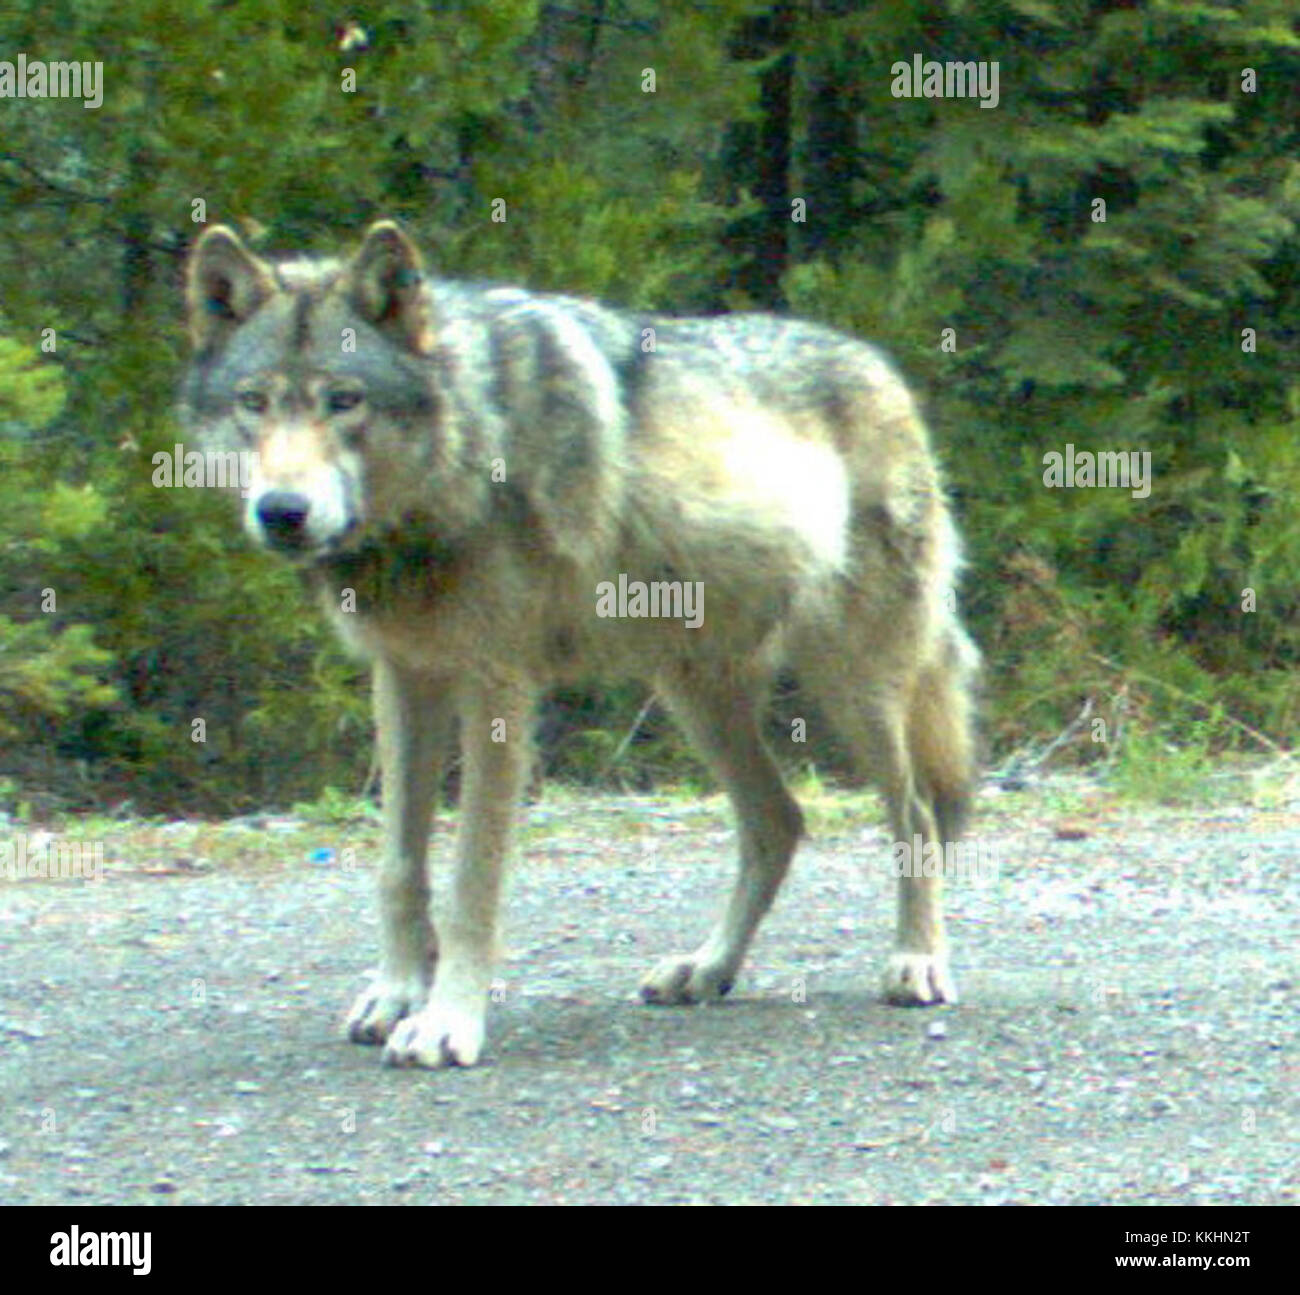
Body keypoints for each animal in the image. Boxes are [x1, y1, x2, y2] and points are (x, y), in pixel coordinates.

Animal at [180, 219, 980, 1069]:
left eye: (343, 401)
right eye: (254, 403)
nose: (282, 511)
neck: (467, 447)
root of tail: (885, 369)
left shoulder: (496, 687)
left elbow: (471, 879)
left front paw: (446, 1022)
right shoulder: (404, 677)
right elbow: (400, 866)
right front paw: (396, 994)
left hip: (855, 687)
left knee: (917, 814)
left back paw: (917, 961)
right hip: (695, 695)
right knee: (779, 821)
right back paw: (707, 969)